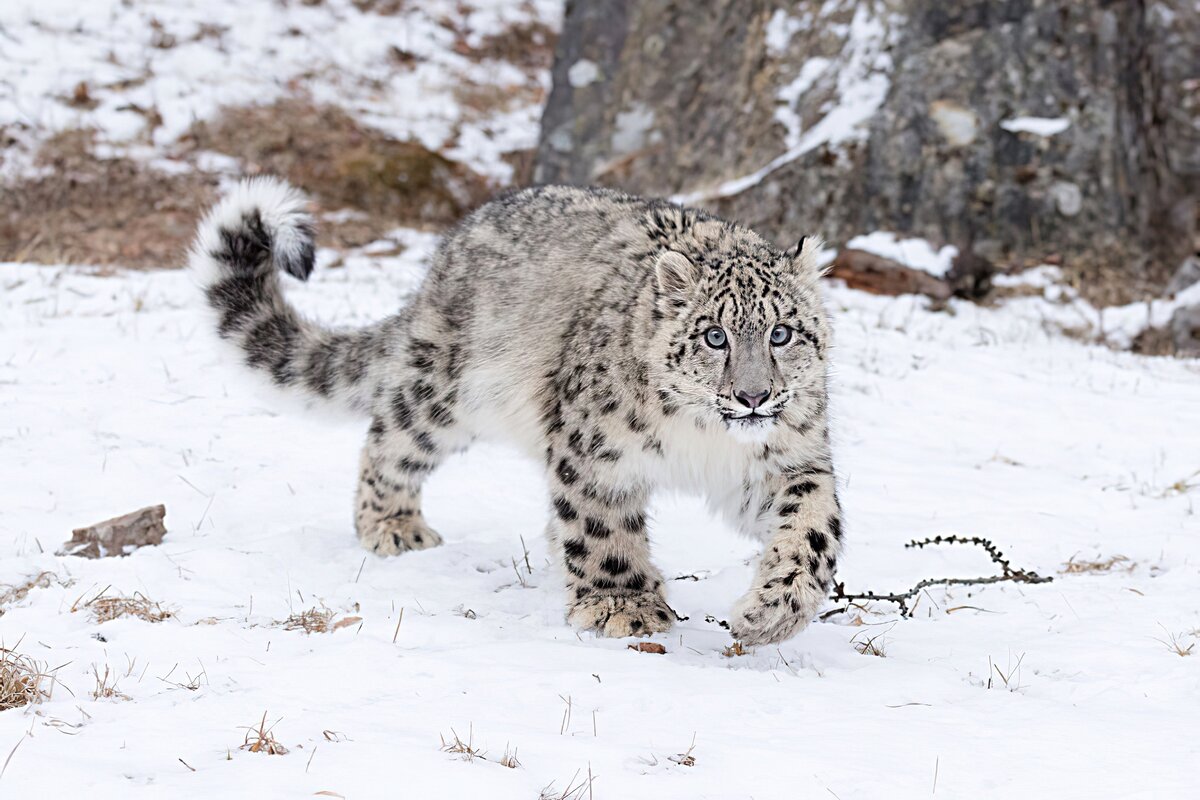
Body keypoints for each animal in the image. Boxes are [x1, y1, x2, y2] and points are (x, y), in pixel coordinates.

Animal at [189, 178, 844, 647]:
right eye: (714, 336)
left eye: (782, 333)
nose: (754, 396)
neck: (706, 442)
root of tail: (445, 254)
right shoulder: (595, 452)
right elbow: (603, 527)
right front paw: (622, 606)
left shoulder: (788, 462)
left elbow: (813, 528)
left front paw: (772, 611)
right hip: (442, 395)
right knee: (389, 440)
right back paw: (392, 525)